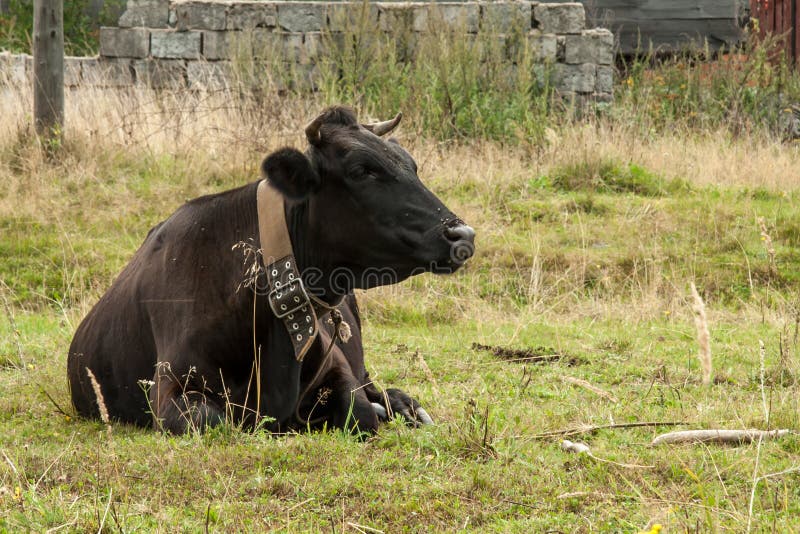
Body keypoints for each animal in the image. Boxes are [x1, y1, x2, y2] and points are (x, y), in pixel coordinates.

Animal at [67, 106, 475, 435]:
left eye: (412, 165)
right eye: (362, 170)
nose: (463, 234)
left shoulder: (338, 371)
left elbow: (361, 412)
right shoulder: (171, 389)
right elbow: (213, 420)